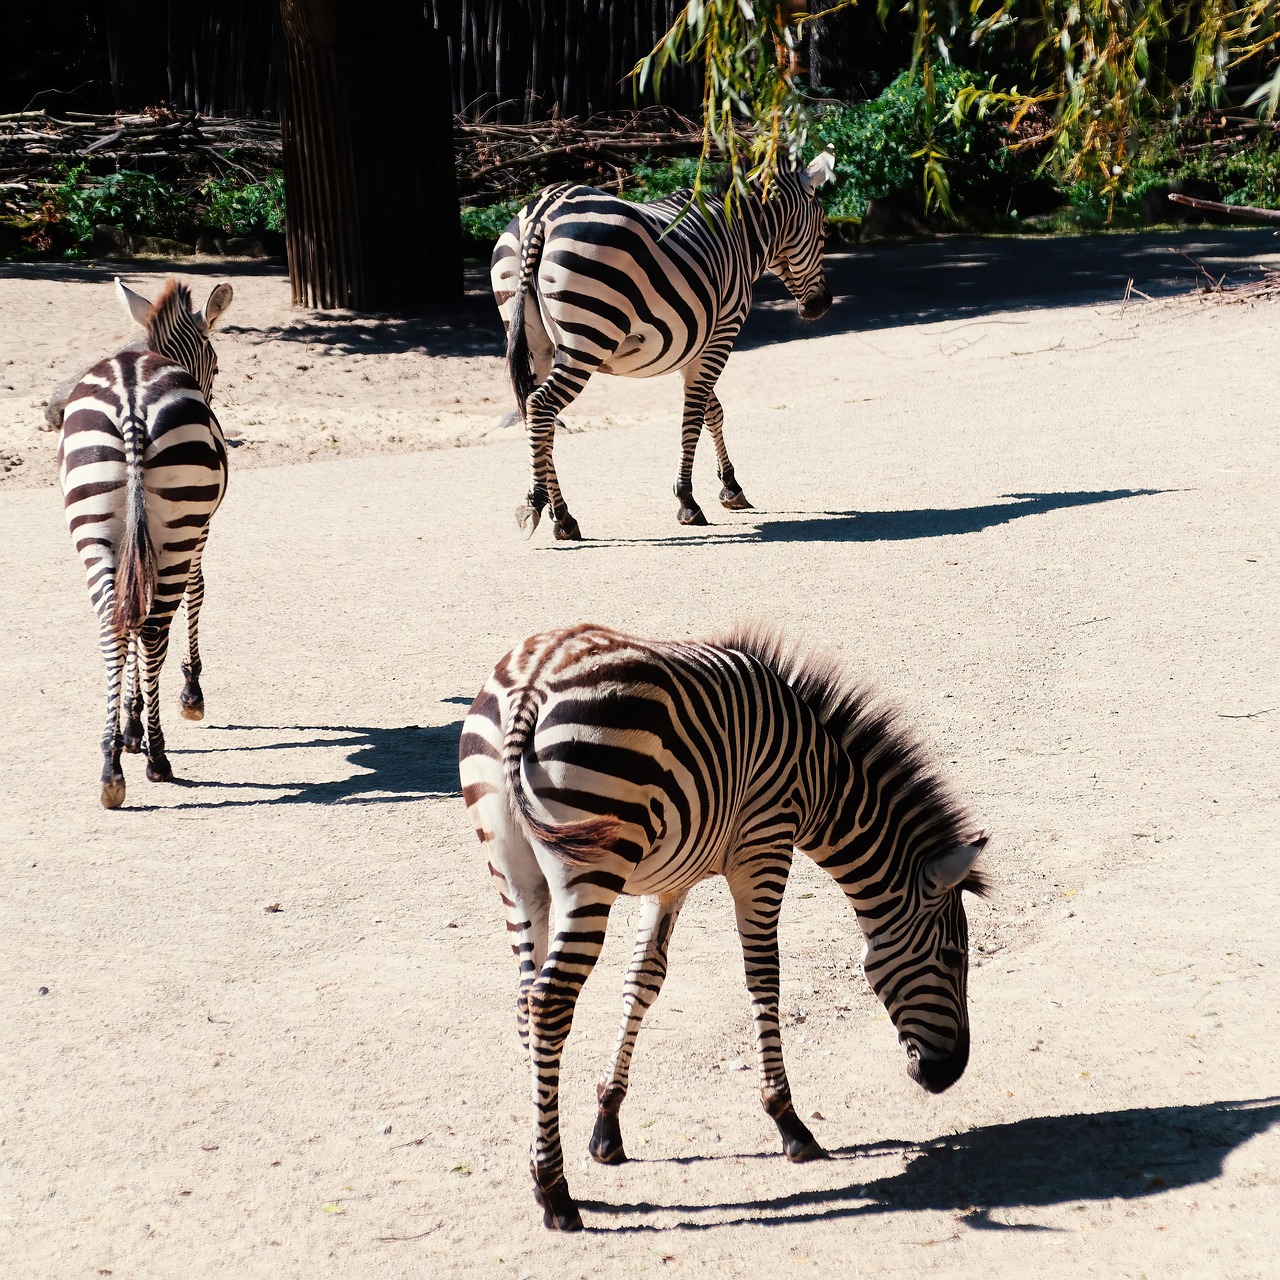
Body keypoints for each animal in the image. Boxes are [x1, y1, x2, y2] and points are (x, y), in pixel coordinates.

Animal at [58, 277, 233, 808]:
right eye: (216, 365)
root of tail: (132, 400)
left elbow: (130, 619)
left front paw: (128, 728)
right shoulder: (200, 533)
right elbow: (197, 593)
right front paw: (188, 697)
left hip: (93, 526)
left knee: (113, 624)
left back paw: (111, 765)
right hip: (179, 529)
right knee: (154, 628)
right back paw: (157, 756)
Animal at [459, 623, 990, 1231]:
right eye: (954, 957)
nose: (949, 1075)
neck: (822, 777)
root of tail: (531, 682)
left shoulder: (672, 877)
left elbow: (643, 980)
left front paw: (607, 1124)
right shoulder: (764, 847)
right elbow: (764, 976)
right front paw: (788, 1122)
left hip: (517, 876)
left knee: (527, 1001)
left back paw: (540, 1165)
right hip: (588, 870)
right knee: (550, 1002)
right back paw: (555, 1192)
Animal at [490, 151, 836, 541]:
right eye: (825, 228)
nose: (822, 304)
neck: (740, 236)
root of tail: (542, 210)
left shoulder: (693, 344)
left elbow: (712, 410)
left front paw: (730, 487)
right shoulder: (722, 333)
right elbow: (694, 414)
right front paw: (687, 500)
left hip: (534, 340)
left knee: (537, 413)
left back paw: (557, 512)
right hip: (587, 342)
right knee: (541, 406)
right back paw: (549, 511)